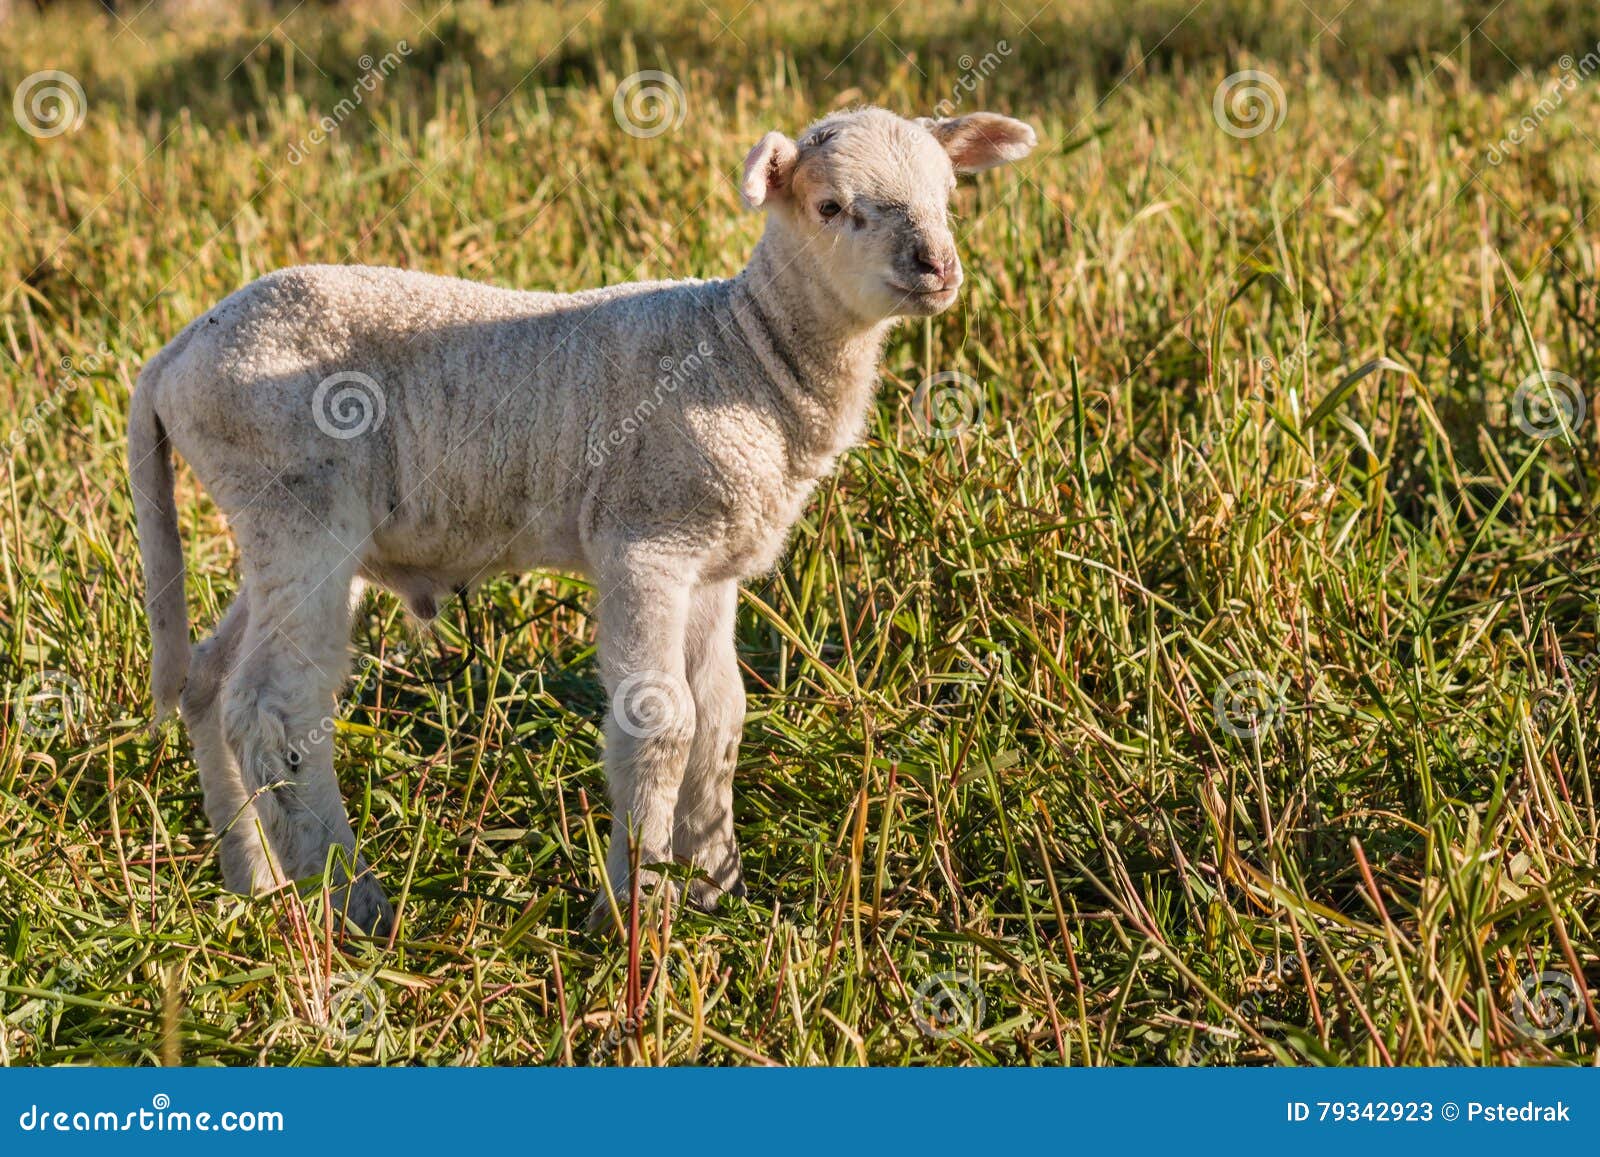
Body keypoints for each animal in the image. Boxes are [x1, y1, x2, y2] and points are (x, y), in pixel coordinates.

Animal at [128, 106, 1037, 935]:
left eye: (948, 195)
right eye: (831, 206)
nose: (936, 265)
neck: (748, 354)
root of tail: (174, 355)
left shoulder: (711, 564)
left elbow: (722, 713)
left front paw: (715, 885)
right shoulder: (645, 542)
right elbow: (662, 721)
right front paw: (633, 914)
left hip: (279, 528)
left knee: (210, 679)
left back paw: (252, 880)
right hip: (298, 505)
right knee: (274, 710)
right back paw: (354, 902)